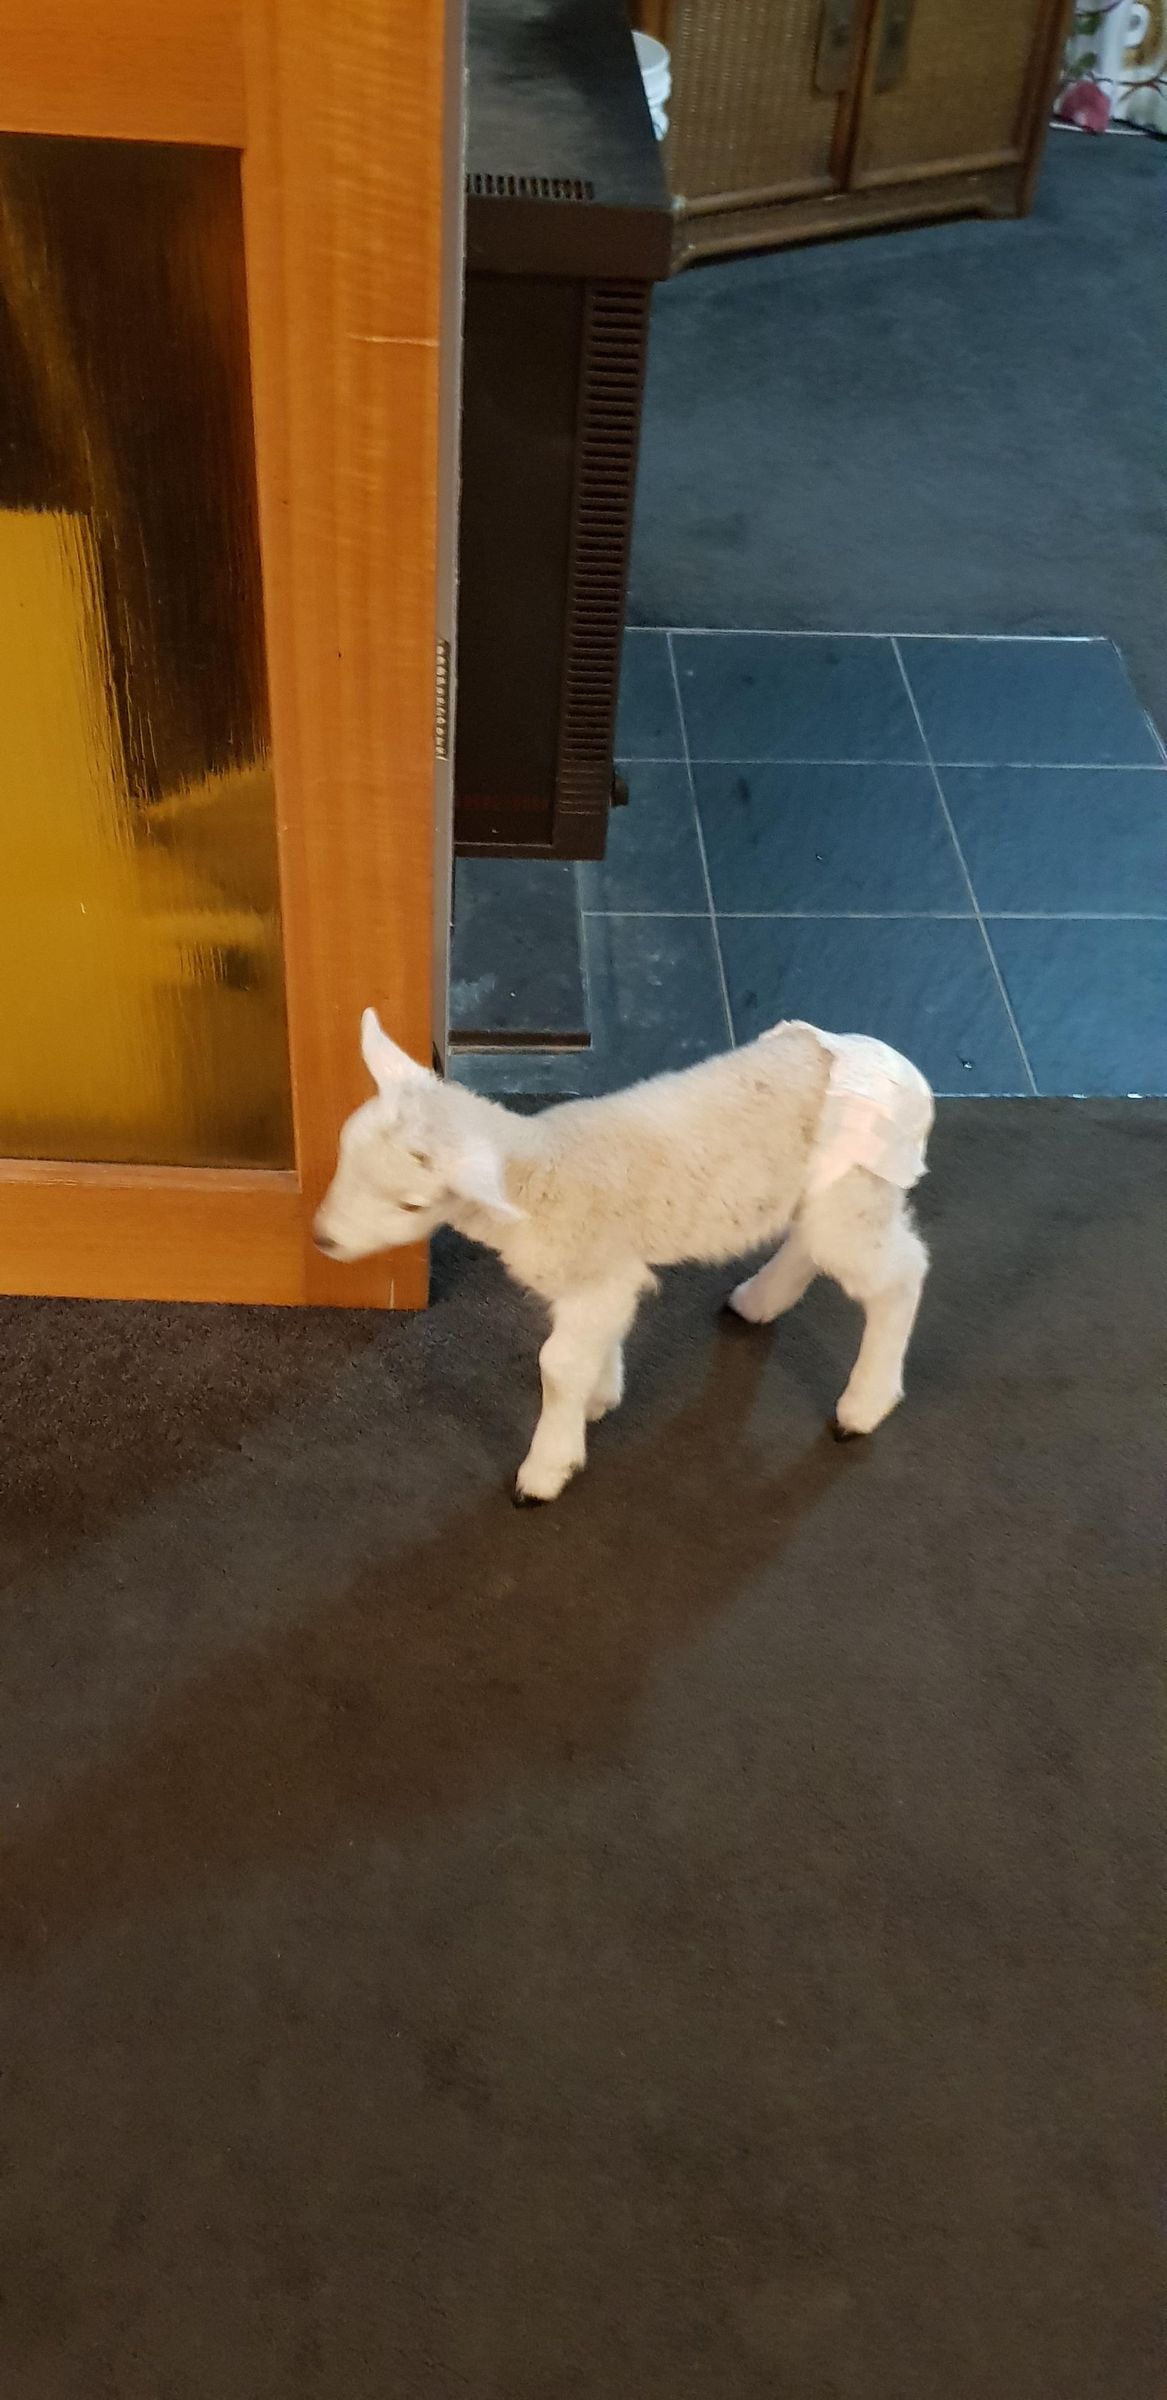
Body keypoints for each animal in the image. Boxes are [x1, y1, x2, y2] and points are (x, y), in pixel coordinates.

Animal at [315, 1009, 934, 1505]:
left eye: (411, 1203)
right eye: (343, 1148)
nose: (322, 1239)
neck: (540, 1172)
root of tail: (908, 1073)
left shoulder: (599, 1275)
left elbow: (557, 1366)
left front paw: (547, 1467)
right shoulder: (604, 1278)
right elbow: (597, 1341)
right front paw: (601, 1393)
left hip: (860, 1186)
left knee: (901, 1274)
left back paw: (864, 1404)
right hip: (828, 1189)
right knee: (814, 1241)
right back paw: (759, 1302)